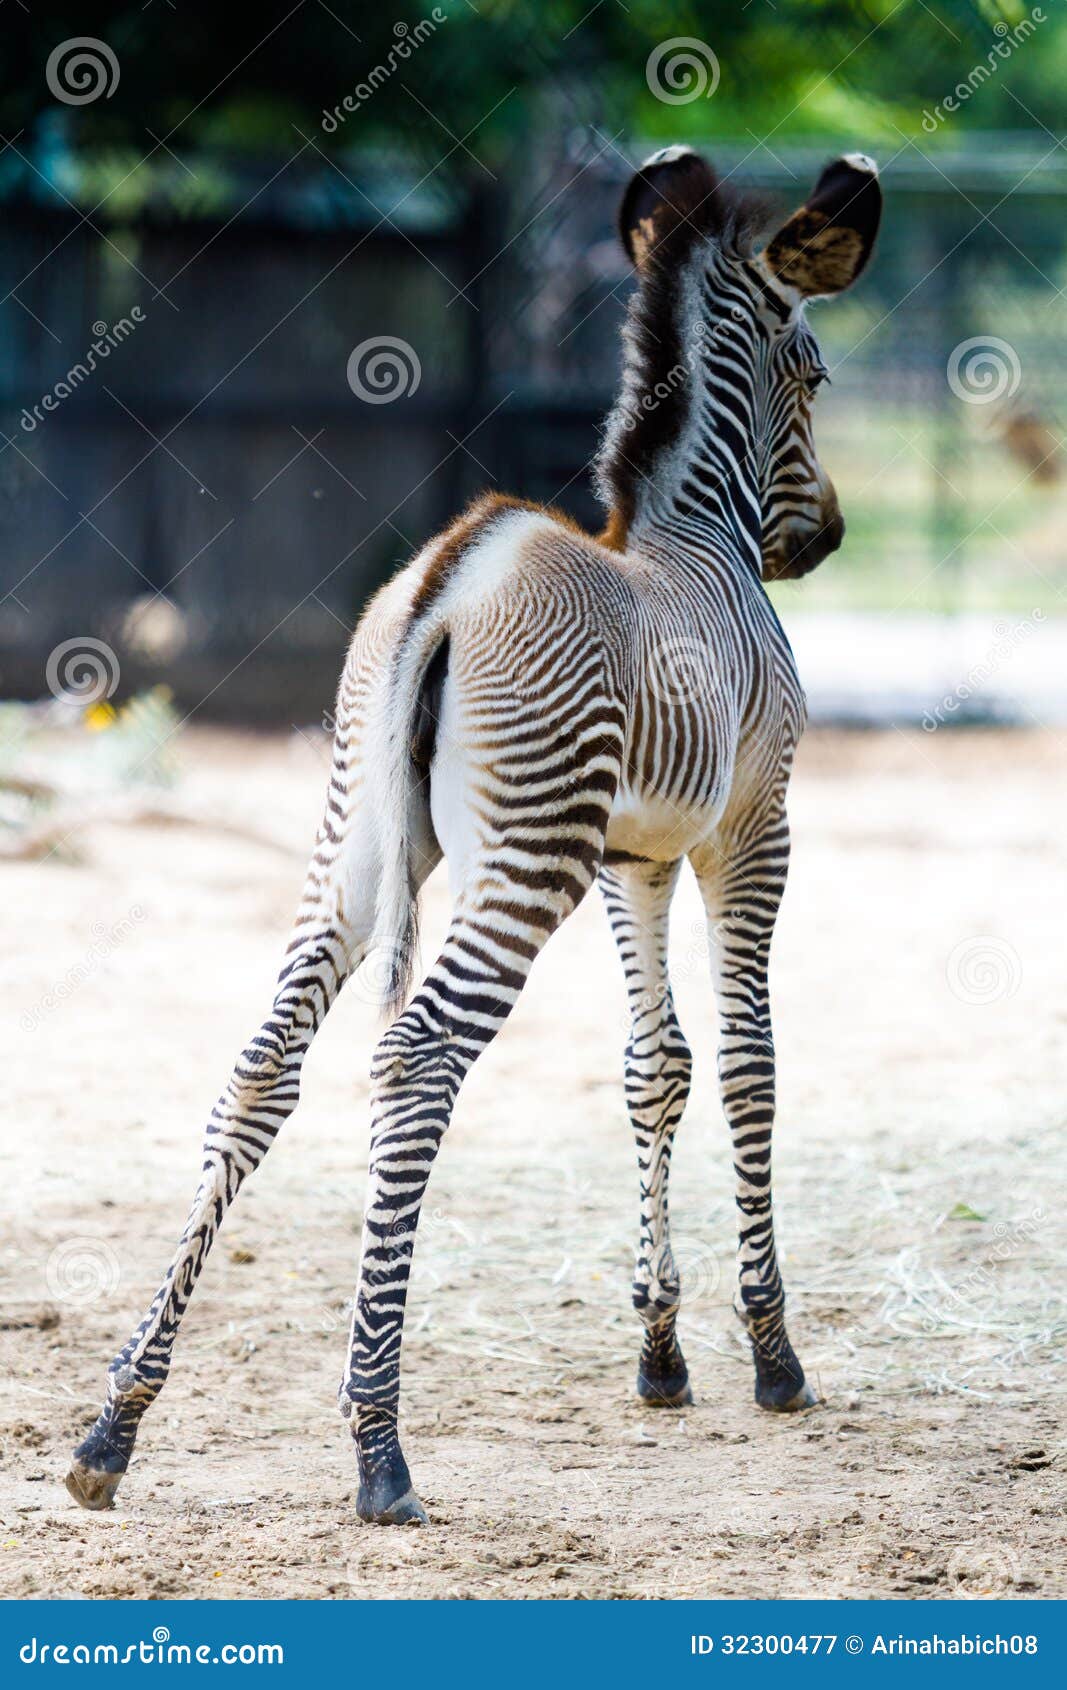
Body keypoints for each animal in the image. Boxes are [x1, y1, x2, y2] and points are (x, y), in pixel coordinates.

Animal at [66, 146, 881, 1526]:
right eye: (813, 373)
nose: (821, 539)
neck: (694, 532)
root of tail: (450, 578)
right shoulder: (749, 830)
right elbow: (745, 1062)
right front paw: (772, 1356)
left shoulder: (631, 857)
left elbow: (652, 1064)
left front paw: (659, 1351)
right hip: (519, 859)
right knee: (415, 1059)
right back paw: (377, 1447)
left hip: (353, 844)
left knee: (261, 1064)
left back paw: (116, 1423)